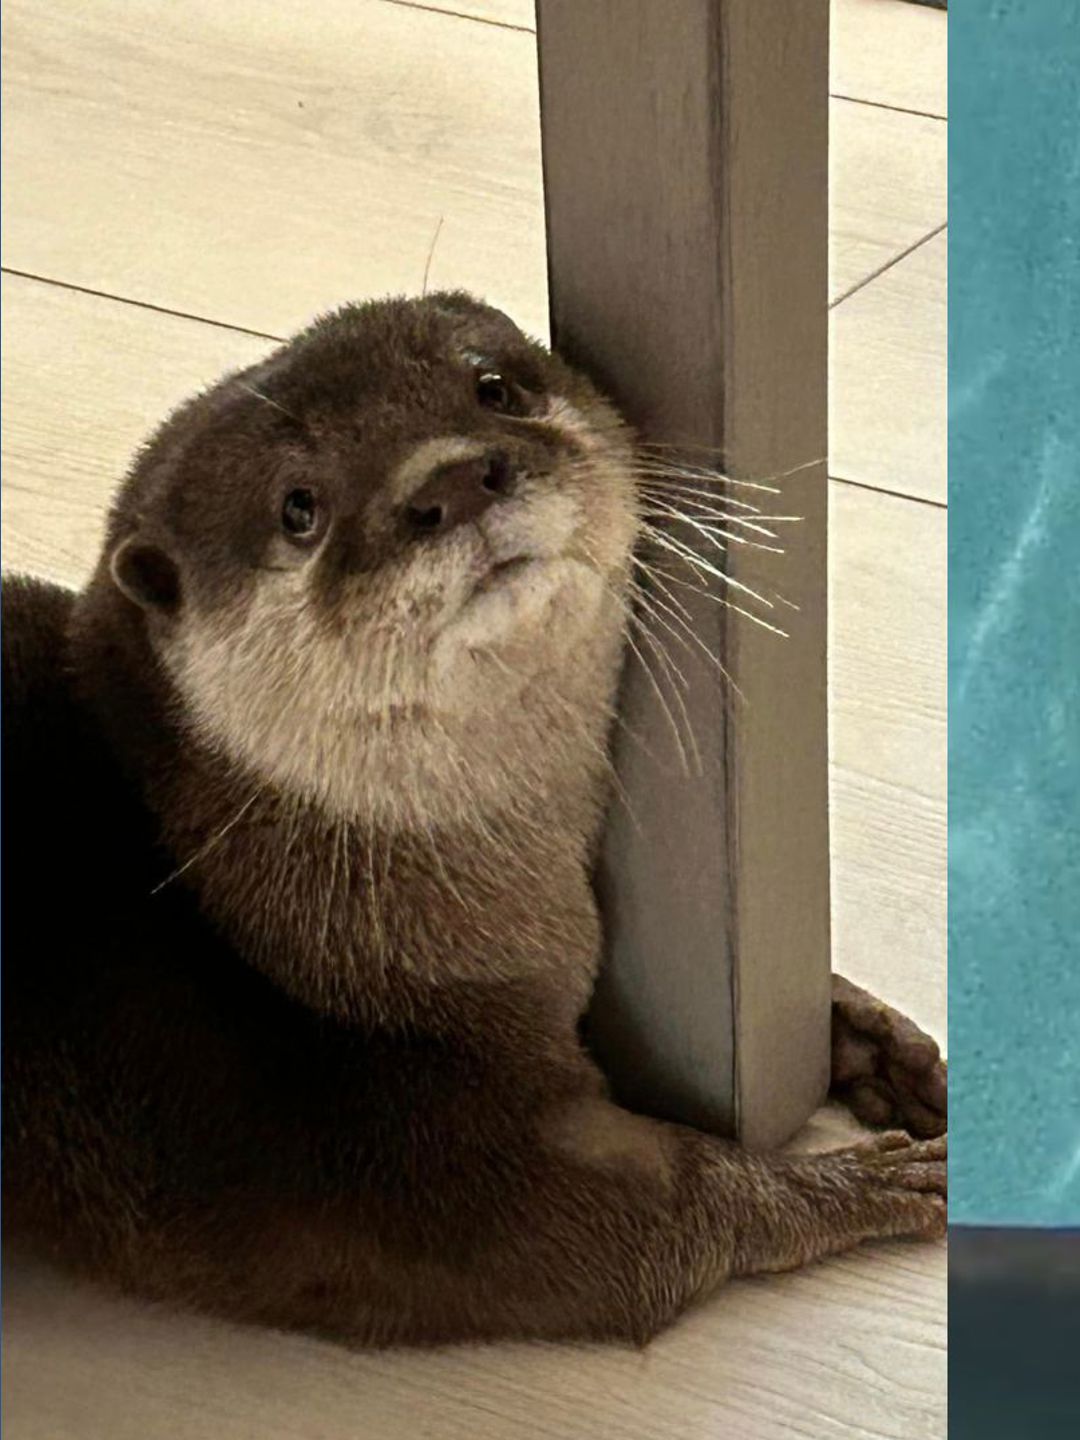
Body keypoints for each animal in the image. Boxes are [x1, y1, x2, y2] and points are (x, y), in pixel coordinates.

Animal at [1, 292, 945, 1346]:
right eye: (297, 507)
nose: (450, 477)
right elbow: (623, 1230)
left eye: (493, 386)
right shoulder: (365, 1169)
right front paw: (851, 1181)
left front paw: (865, 1036)